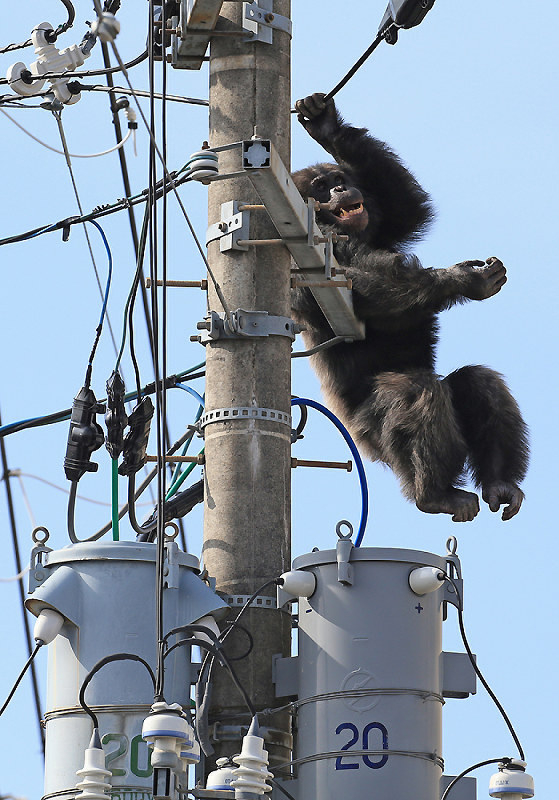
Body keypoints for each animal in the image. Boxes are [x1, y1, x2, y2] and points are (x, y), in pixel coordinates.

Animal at [291, 93, 529, 522]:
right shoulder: (316, 241)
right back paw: (435, 494)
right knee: (414, 390)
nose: (340, 189)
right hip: (371, 434)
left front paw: (326, 126)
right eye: (320, 188)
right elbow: (357, 285)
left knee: (478, 381)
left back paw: (500, 482)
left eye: (337, 180)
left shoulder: (382, 223)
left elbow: (406, 208)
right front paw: (464, 280)